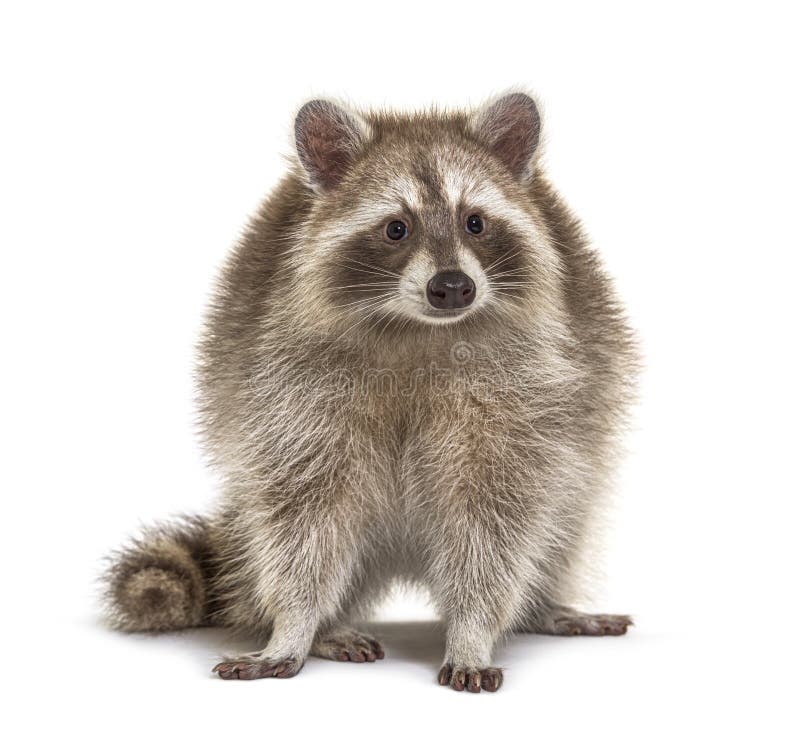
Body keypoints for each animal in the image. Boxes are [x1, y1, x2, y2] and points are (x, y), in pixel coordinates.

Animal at [104, 92, 637, 693]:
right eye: (396, 228)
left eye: (474, 222)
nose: (453, 286)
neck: (418, 327)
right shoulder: (287, 383)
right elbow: (302, 515)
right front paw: (293, 624)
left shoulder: (528, 386)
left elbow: (498, 521)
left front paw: (473, 631)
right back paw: (325, 626)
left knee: (564, 521)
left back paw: (541, 604)